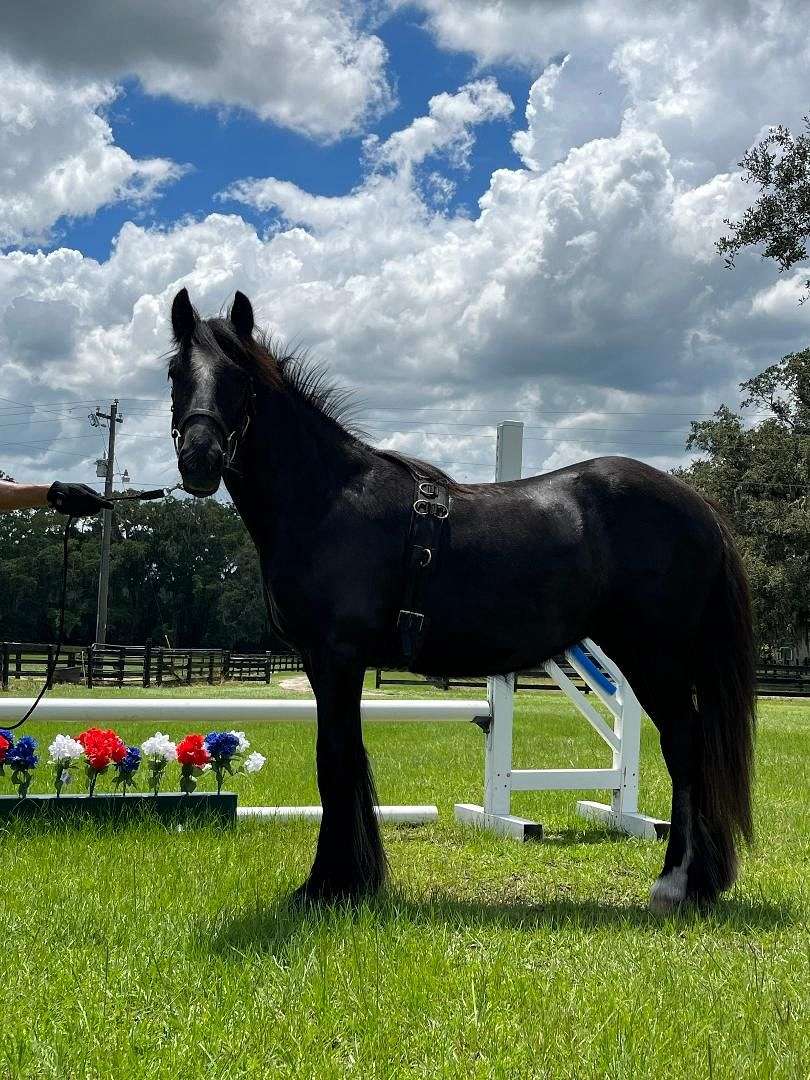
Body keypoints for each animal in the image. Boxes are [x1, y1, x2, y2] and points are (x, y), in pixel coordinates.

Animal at [167, 287, 755, 912]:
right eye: (176, 372)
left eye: (239, 377)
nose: (200, 459)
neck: (328, 499)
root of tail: (696, 504)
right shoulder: (331, 663)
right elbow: (344, 758)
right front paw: (349, 879)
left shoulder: (336, 658)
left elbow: (335, 761)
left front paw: (329, 884)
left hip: (654, 659)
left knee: (685, 748)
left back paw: (676, 883)